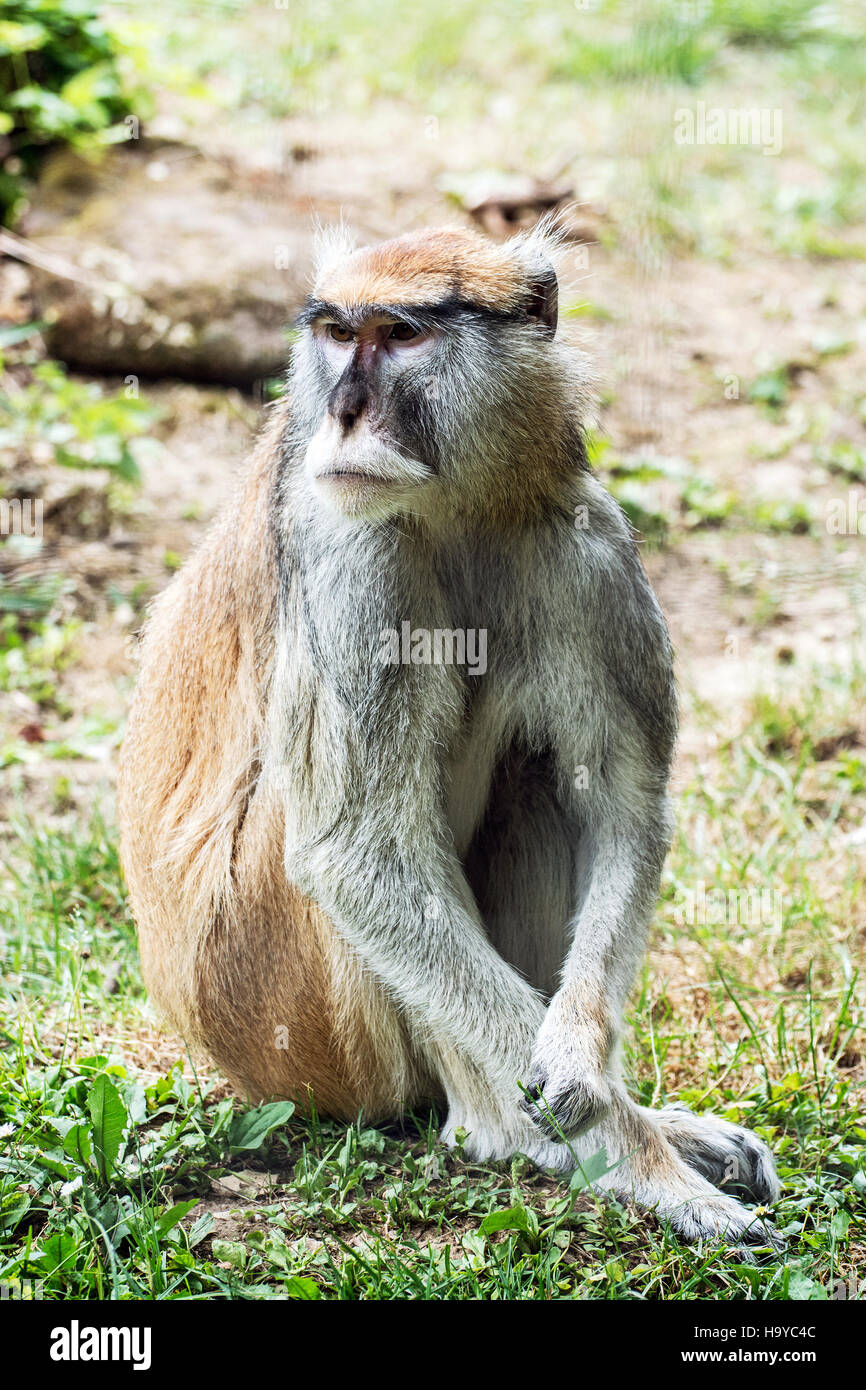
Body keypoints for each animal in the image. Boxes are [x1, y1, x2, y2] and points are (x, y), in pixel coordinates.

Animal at [117, 222, 780, 1248]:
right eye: (338, 335)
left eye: (400, 335)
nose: (347, 413)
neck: (460, 504)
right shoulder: (356, 554)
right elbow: (359, 858)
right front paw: (647, 1167)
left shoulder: (585, 539)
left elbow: (621, 801)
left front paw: (585, 1064)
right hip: (289, 1013)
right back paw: (501, 1131)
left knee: (535, 772)